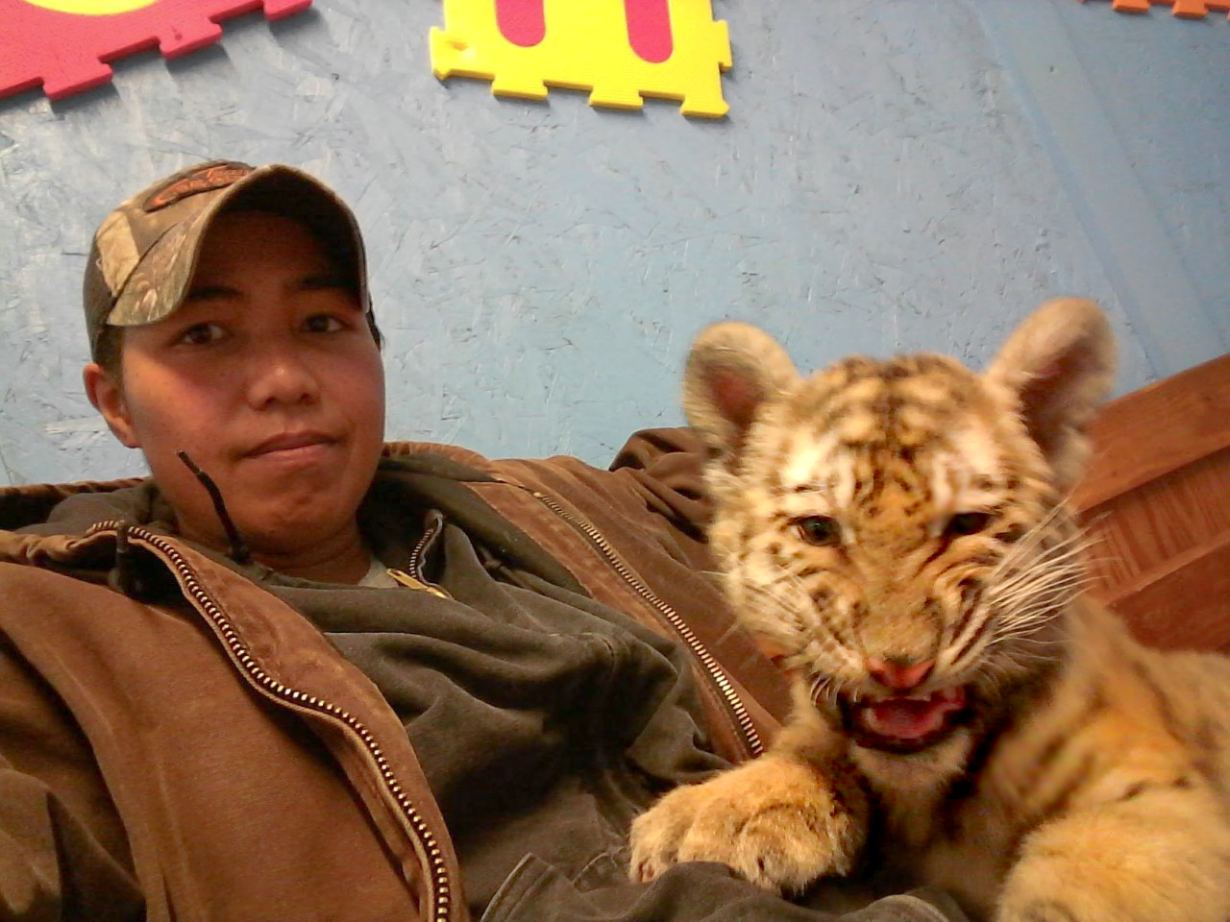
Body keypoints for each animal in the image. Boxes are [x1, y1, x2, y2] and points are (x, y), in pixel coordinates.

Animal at [628, 298, 1230, 922]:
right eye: (818, 530)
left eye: (966, 524)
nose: (901, 668)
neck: (932, 803)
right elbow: (809, 752)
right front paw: (710, 814)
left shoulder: (1160, 805)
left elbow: (1092, 877)